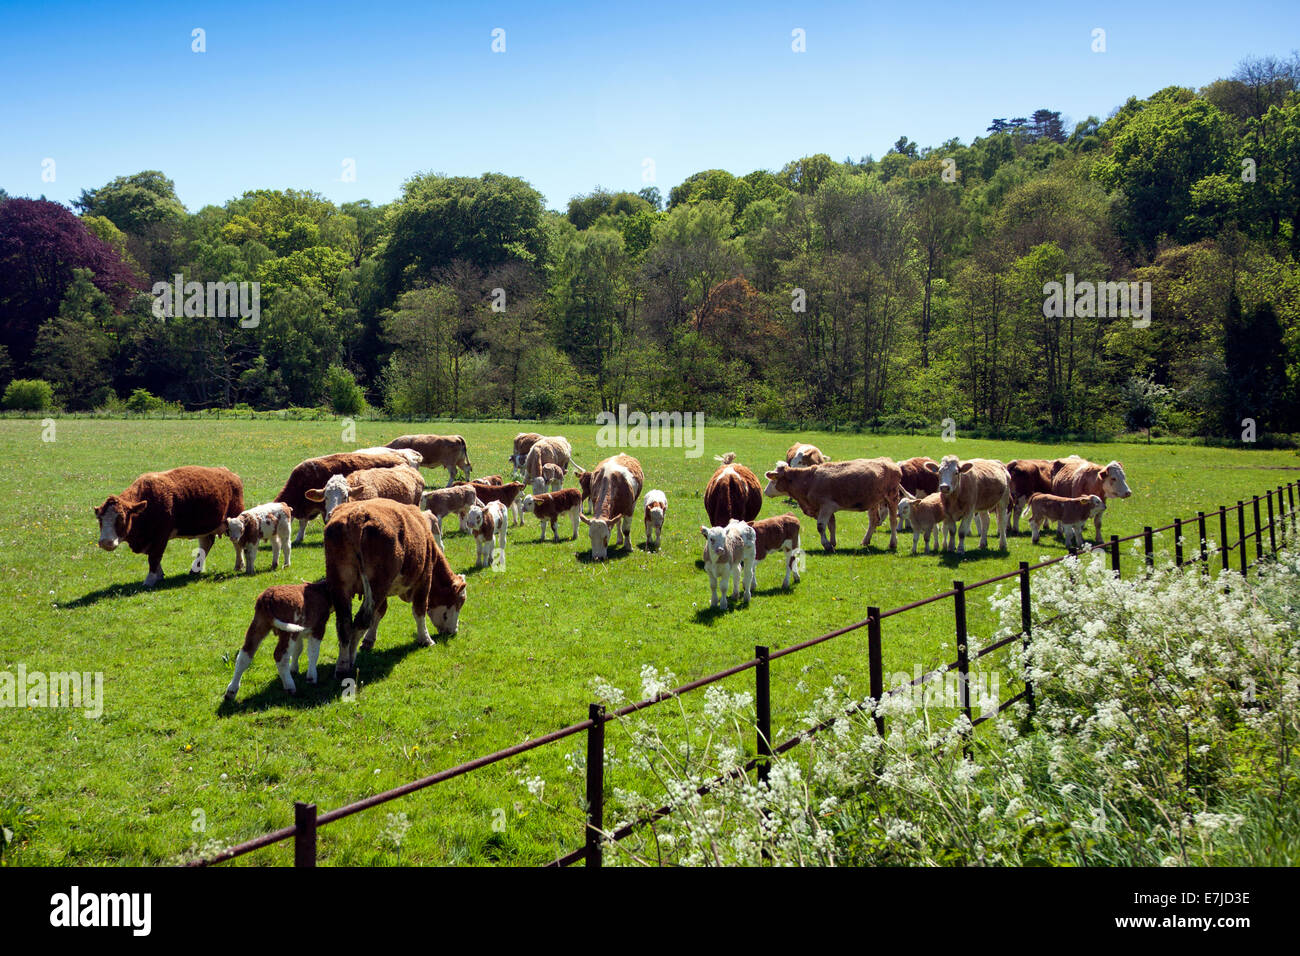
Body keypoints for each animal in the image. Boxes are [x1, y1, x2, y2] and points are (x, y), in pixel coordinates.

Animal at [95, 466, 244, 586]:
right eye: (99, 519)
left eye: (121, 518)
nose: (106, 542)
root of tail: (231, 475)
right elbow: (153, 557)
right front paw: (159, 575)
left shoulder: (160, 536)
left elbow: (154, 557)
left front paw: (149, 580)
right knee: (206, 543)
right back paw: (195, 568)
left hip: (234, 522)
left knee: (237, 543)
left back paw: (238, 565)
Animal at [324, 499, 467, 678]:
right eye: (460, 601)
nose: (454, 631)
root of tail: (357, 515)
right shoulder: (424, 578)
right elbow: (419, 610)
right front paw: (425, 639)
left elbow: (379, 612)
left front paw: (369, 640)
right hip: (377, 585)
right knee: (359, 622)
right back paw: (350, 660)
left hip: (341, 586)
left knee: (344, 624)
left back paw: (342, 664)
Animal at [762, 458, 901, 552]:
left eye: (773, 480)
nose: (765, 491)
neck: (809, 480)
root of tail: (888, 461)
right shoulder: (825, 509)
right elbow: (831, 525)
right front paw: (833, 542)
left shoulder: (826, 506)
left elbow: (821, 526)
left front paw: (827, 545)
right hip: (873, 501)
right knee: (873, 520)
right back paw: (865, 541)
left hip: (892, 498)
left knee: (893, 520)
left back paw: (893, 543)